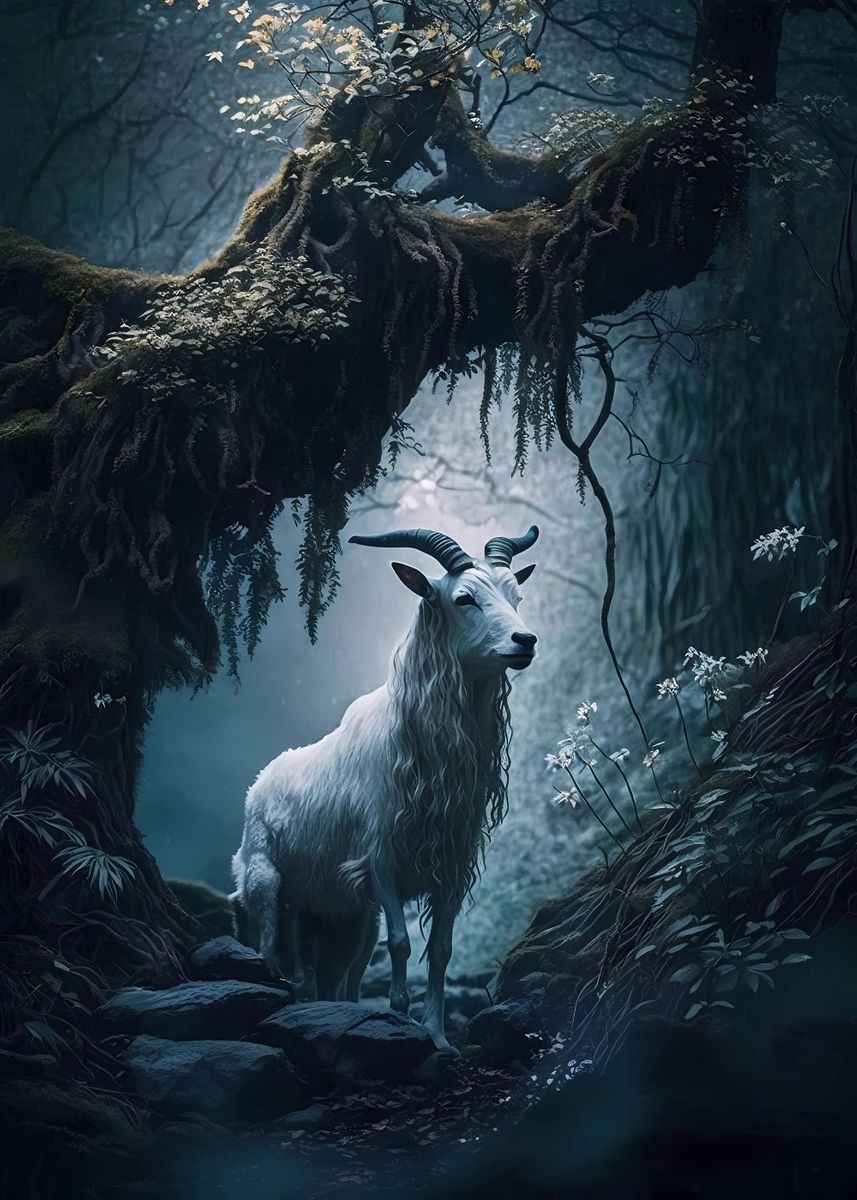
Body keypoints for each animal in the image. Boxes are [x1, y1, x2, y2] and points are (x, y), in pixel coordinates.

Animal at [231, 525, 539, 1052]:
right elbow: (400, 942)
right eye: (464, 598)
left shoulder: (452, 864)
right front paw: (400, 1020)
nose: (526, 640)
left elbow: (441, 948)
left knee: (334, 978)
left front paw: (437, 1037)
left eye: (516, 595)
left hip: (344, 916)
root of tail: (260, 784)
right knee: (270, 953)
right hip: (266, 887)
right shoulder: (381, 859)